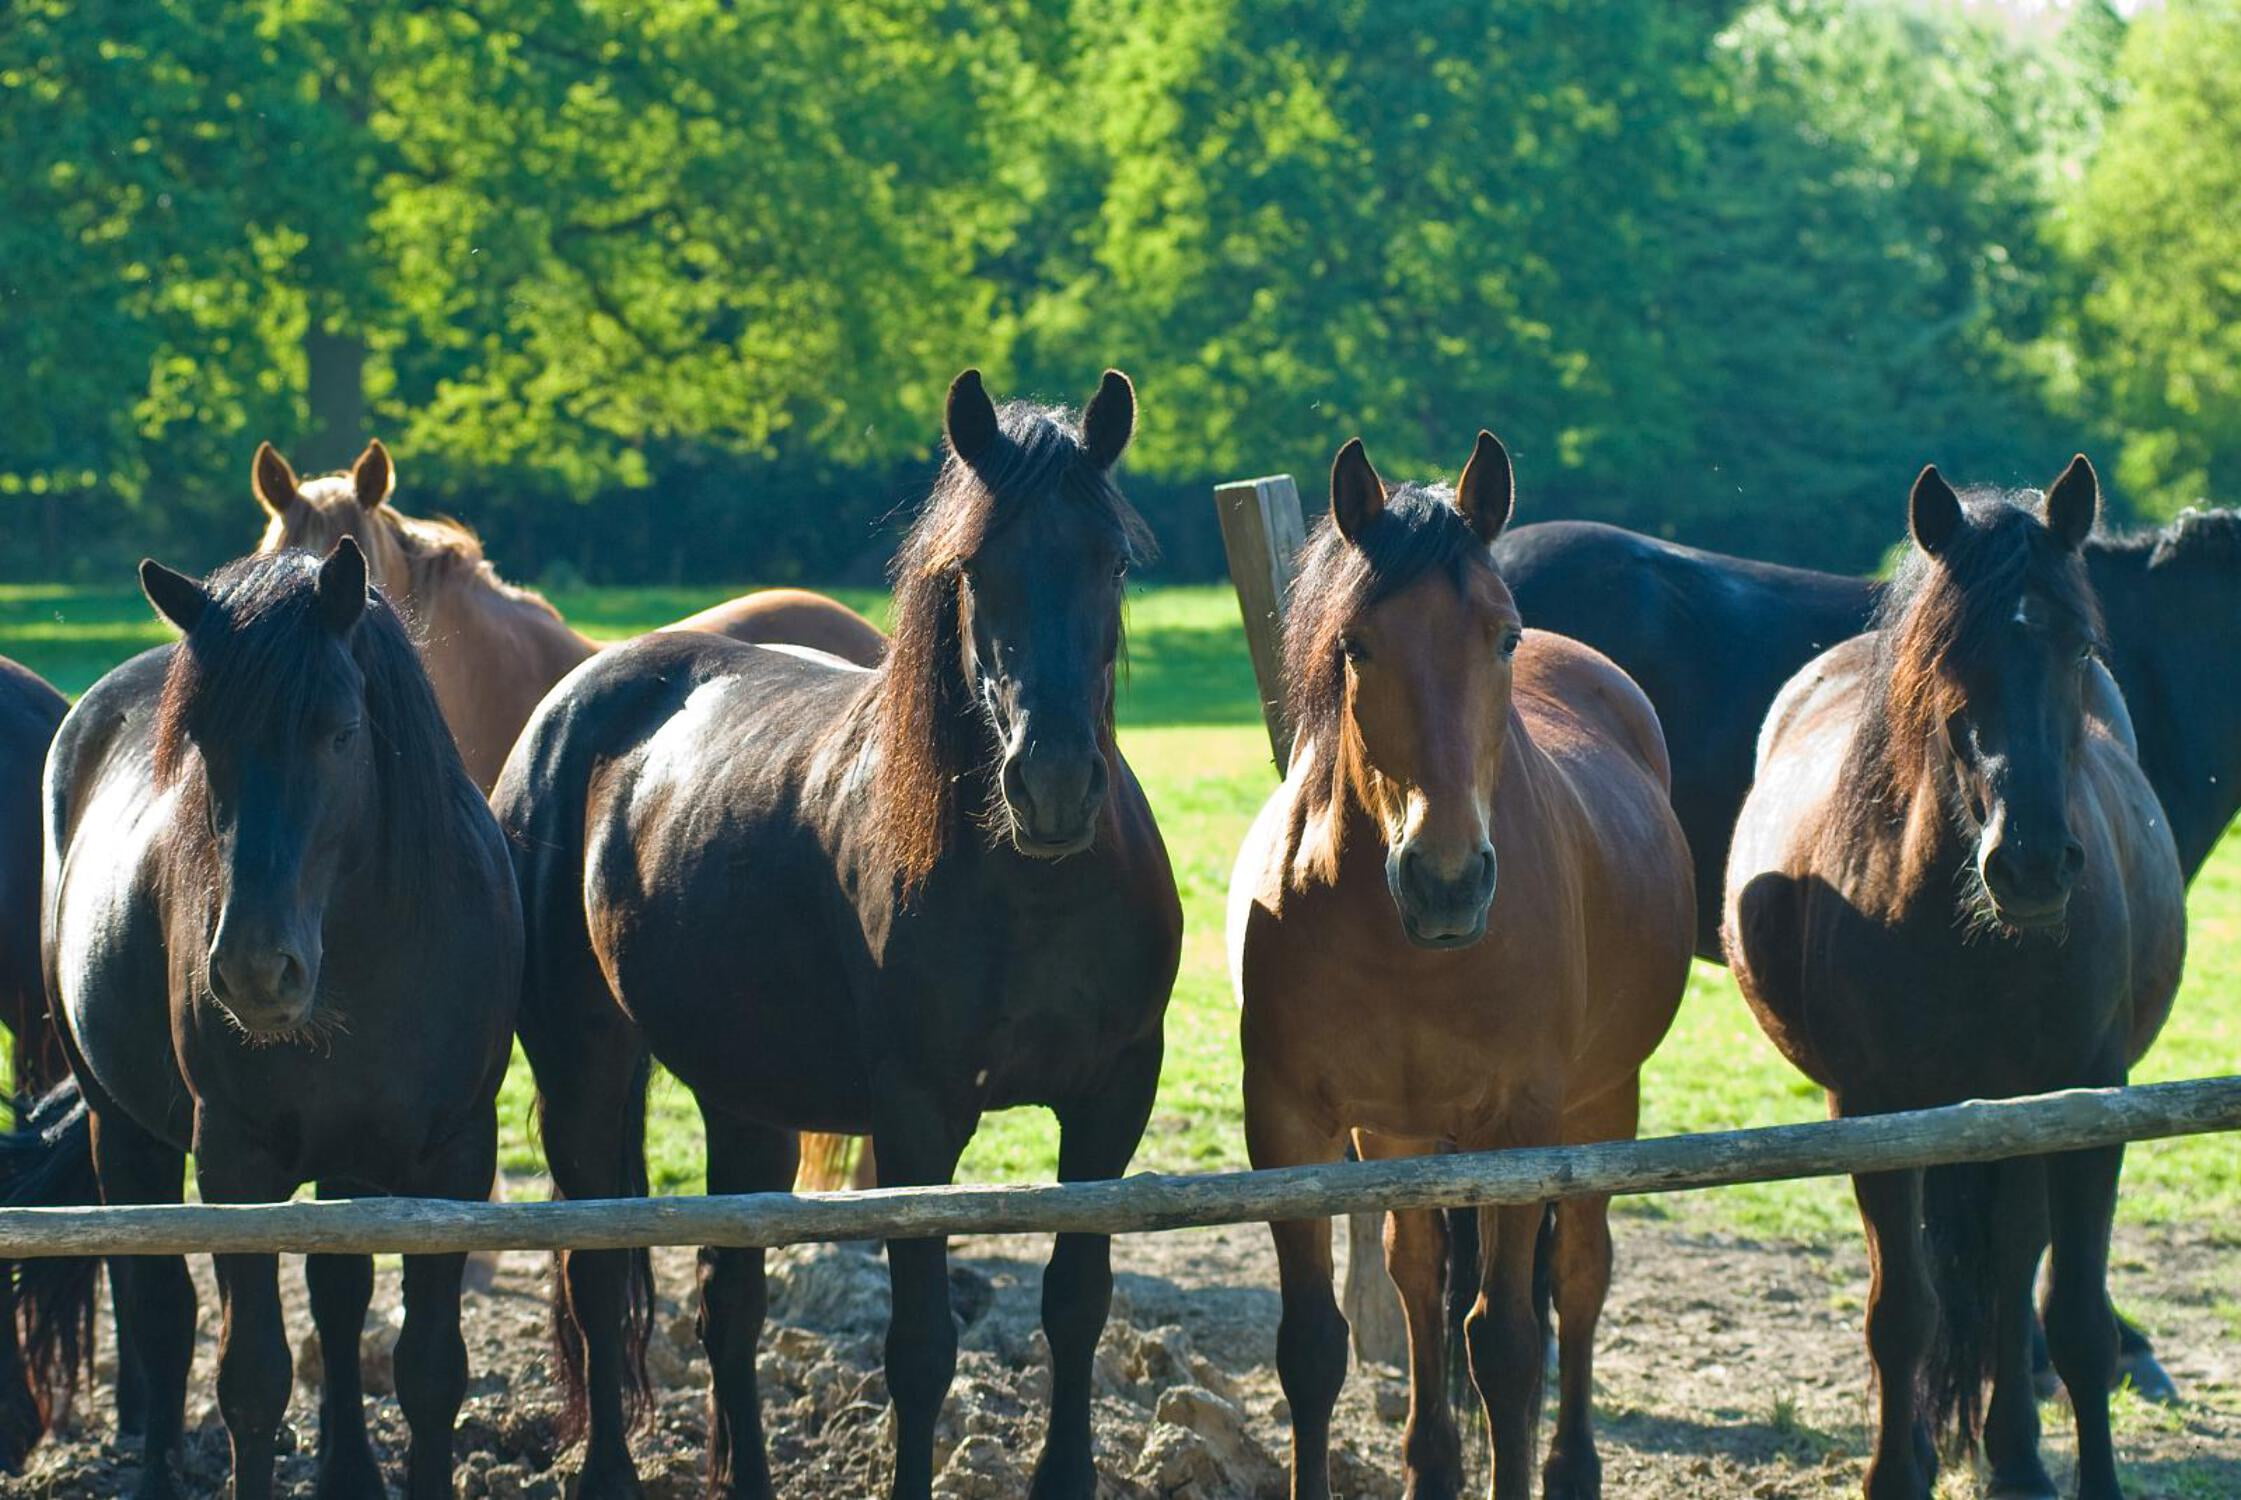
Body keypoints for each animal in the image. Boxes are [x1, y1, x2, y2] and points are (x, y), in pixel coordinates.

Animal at [13, 541, 521, 1500]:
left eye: (342, 732)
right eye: (203, 741)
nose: (255, 970)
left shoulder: (453, 1161)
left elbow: (429, 1369)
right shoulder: (234, 1165)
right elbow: (250, 1380)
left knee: (335, 1296)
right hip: (120, 1129)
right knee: (161, 1314)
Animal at [494, 369, 1181, 1500]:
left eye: (1114, 560)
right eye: (974, 568)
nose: (1051, 784)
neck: (1036, 891)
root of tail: (575, 697)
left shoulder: (1112, 1099)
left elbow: (1077, 1307)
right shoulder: (915, 1121)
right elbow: (920, 1350)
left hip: (744, 1102)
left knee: (728, 1309)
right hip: (581, 1072)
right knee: (597, 1287)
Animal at [1229, 435, 1693, 1500]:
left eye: (1501, 637)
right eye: (1356, 643)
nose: (1445, 883)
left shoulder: (1521, 1125)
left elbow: (1509, 1346)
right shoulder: (1288, 1125)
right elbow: (1313, 1343)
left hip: (1599, 1102)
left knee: (1579, 1276)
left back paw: (1570, 1468)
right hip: (1403, 1136)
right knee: (1415, 1273)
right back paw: (1432, 1463)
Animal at [1723, 460, 2185, 1500]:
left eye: (2078, 646)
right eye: (1947, 654)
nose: (2033, 864)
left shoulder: (2089, 1100)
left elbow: (2076, 1323)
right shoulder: (1873, 1109)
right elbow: (1901, 1315)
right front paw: (1895, 1473)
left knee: (2011, 1279)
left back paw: (2015, 1460)